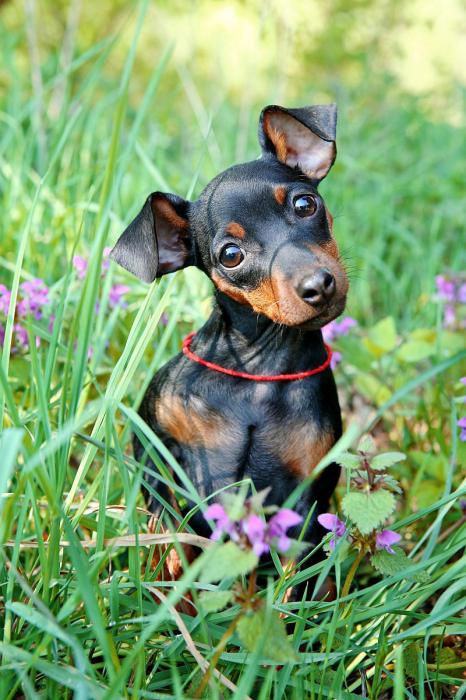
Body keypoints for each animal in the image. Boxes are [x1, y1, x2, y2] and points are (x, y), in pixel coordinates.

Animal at [111, 102, 348, 584]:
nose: (318, 285)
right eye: (231, 255)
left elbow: (292, 588)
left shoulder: (308, 498)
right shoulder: (164, 460)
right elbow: (175, 544)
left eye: (305, 203)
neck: (257, 369)